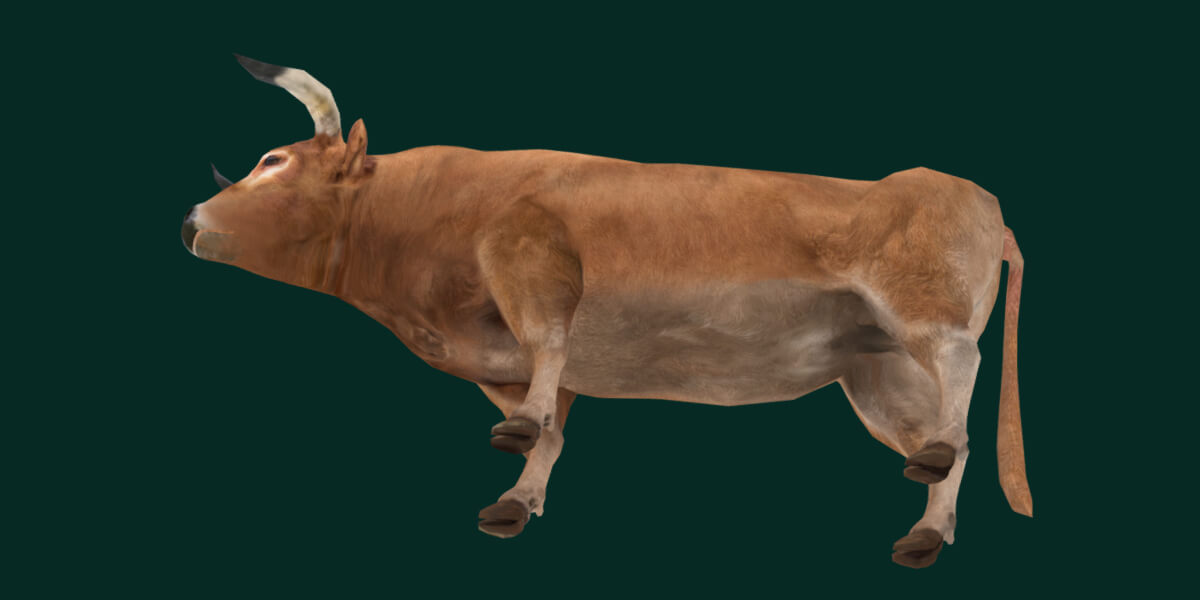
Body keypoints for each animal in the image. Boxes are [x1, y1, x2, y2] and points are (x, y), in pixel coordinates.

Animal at [182, 55, 1031, 568]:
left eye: (274, 160)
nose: (191, 220)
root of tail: (978, 197)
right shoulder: (501, 362)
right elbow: (554, 426)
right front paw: (518, 498)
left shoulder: (530, 252)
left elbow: (548, 349)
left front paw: (519, 439)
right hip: (876, 368)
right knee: (939, 437)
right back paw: (926, 528)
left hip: (922, 310)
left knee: (964, 363)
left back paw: (940, 456)